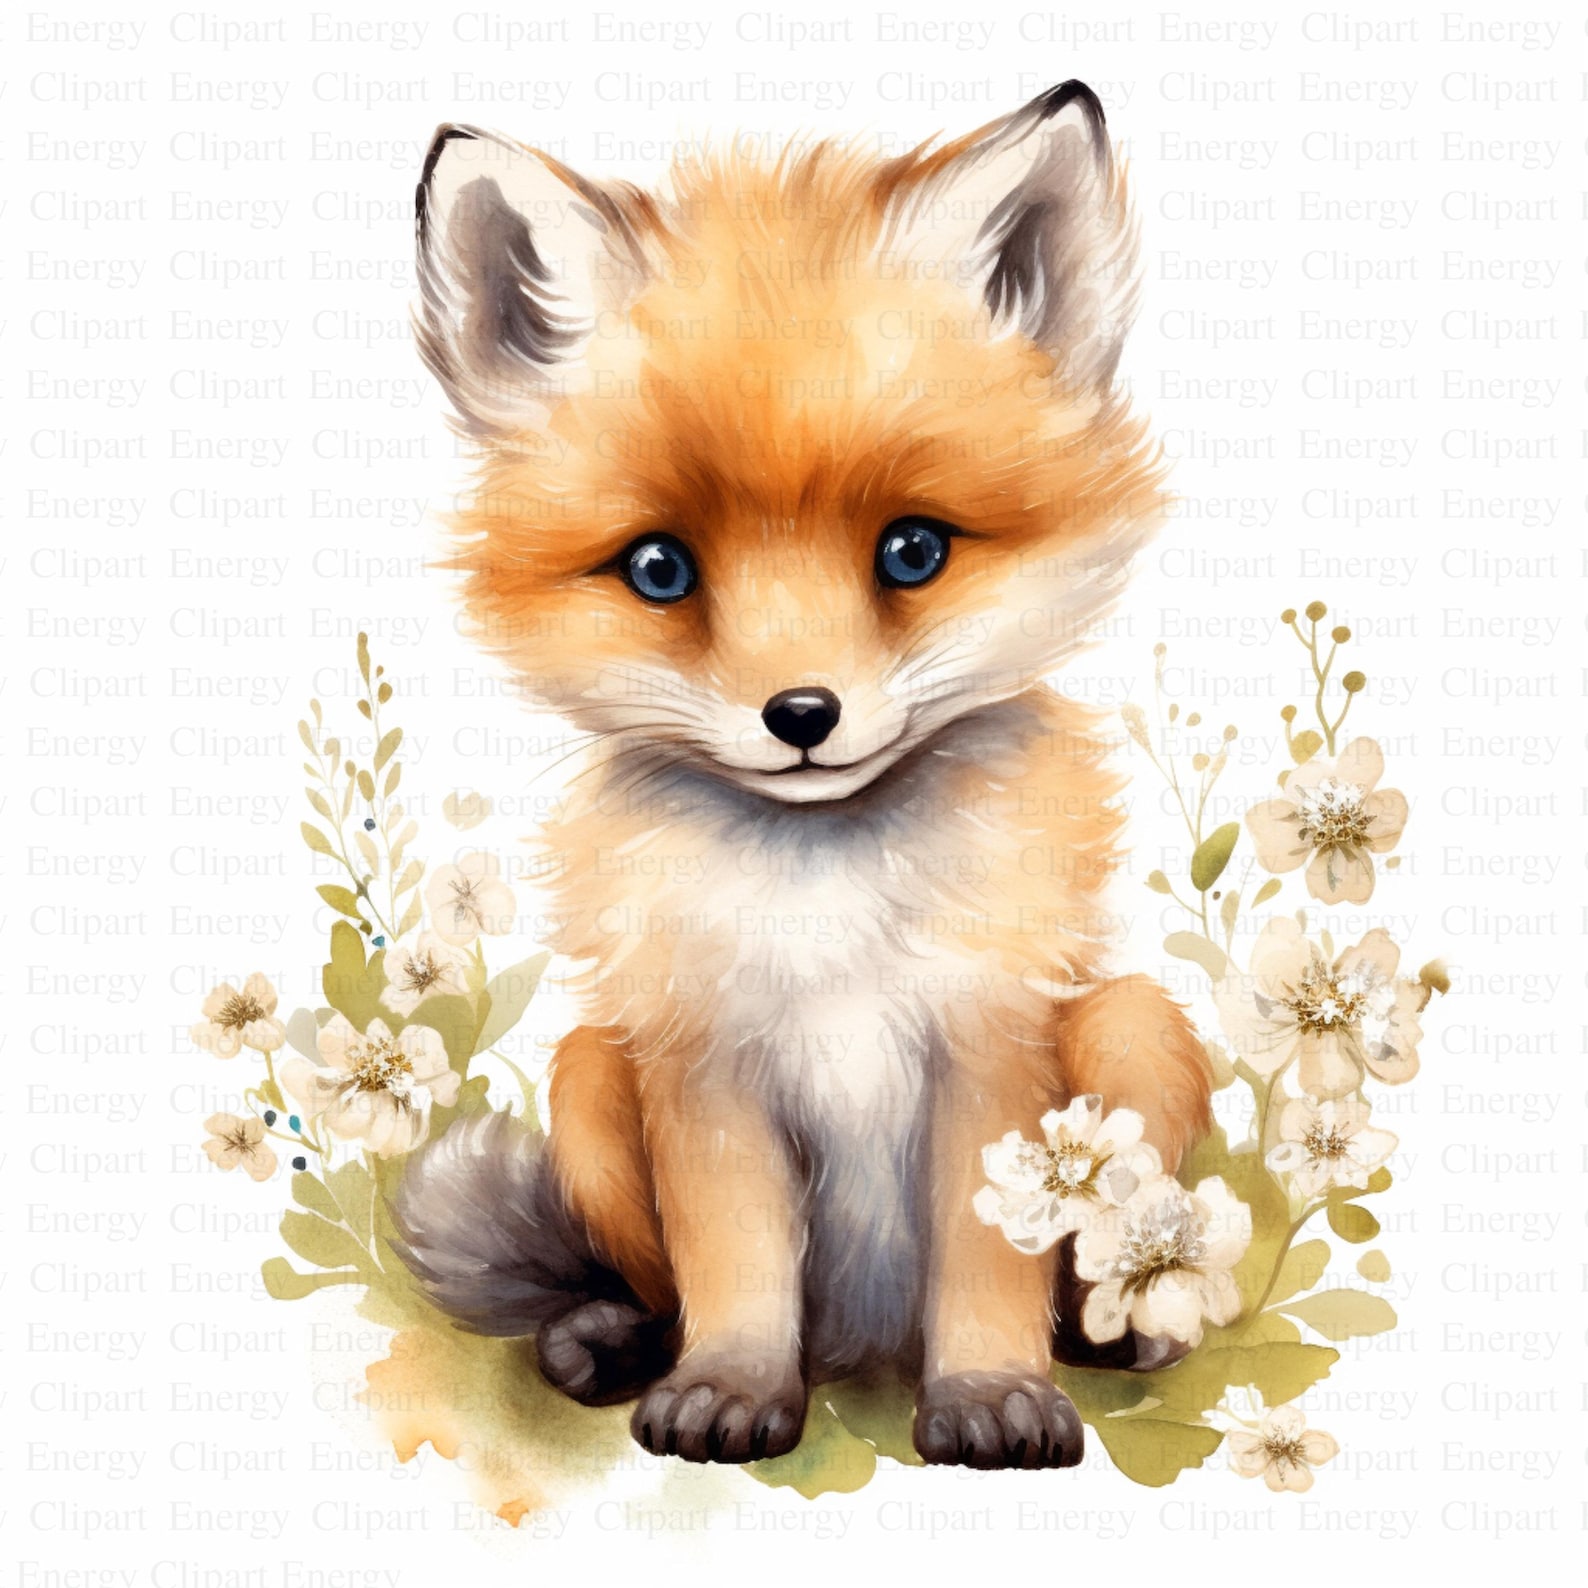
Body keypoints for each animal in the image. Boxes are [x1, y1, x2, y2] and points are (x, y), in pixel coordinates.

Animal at [392, 80, 1214, 1470]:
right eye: (660, 569)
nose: (801, 716)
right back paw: (609, 1338)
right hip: (592, 1075)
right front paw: (729, 1384)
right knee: (648, 1280)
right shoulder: (703, 1057)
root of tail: (862, 1353)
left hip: (1130, 1030)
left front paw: (992, 1392)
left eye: (913, 550)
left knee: (1095, 1254)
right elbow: (734, 1267)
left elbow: (990, 1268)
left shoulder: (987, 1041)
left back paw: (1116, 1332)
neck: (826, 904)